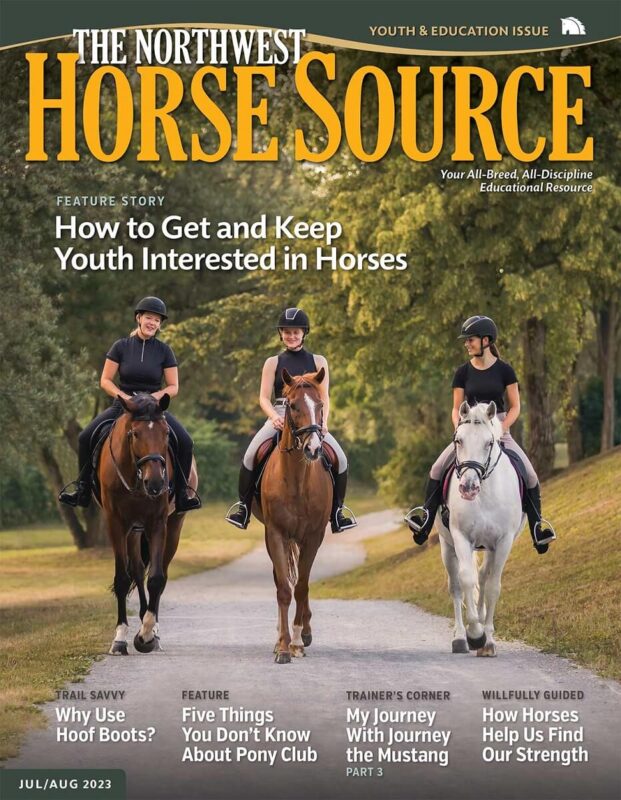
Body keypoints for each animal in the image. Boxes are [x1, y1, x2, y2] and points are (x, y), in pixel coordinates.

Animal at [97, 392, 198, 656]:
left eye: (166, 433)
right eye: (135, 433)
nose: (155, 483)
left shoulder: (158, 522)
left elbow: (156, 579)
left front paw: (146, 634)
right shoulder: (115, 523)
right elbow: (123, 579)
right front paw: (120, 638)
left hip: (173, 526)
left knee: (159, 571)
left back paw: (153, 629)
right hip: (133, 531)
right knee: (137, 569)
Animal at [254, 368, 333, 664]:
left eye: (320, 405)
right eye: (293, 406)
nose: (313, 449)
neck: (297, 480)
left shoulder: (313, 537)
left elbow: (301, 587)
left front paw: (298, 641)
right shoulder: (276, 533)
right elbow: (285, 588)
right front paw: (284, 646)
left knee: (301, 581)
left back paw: (305, 634)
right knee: (282, 580)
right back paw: (280, 638)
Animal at [437, 401, 524, 657]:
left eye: (489, 443)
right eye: (459, 441)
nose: (468, 488)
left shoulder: (503, 542)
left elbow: (493, 586)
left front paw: (488, 640)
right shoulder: (461, 537)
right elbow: (466, 579)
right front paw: (475, 634)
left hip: (491, 548)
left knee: (485, 578)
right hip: (447, 546)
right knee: (455, 586)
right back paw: (459, 638)